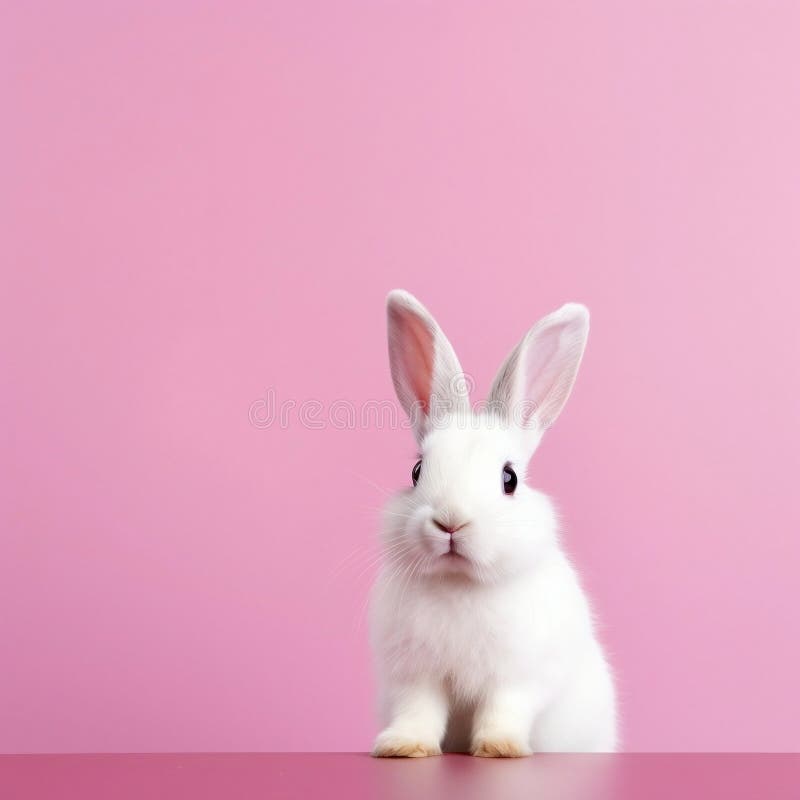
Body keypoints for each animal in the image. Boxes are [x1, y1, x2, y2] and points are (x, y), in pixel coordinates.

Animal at [369, 290, 617, 758]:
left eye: (510, 479)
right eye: (416, 471)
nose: (450, 522)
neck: (460, 584)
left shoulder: (519, 677)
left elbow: (504, 709)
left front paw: (499, 748)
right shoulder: (415, 676)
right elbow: (418, 712)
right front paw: (403, 746)